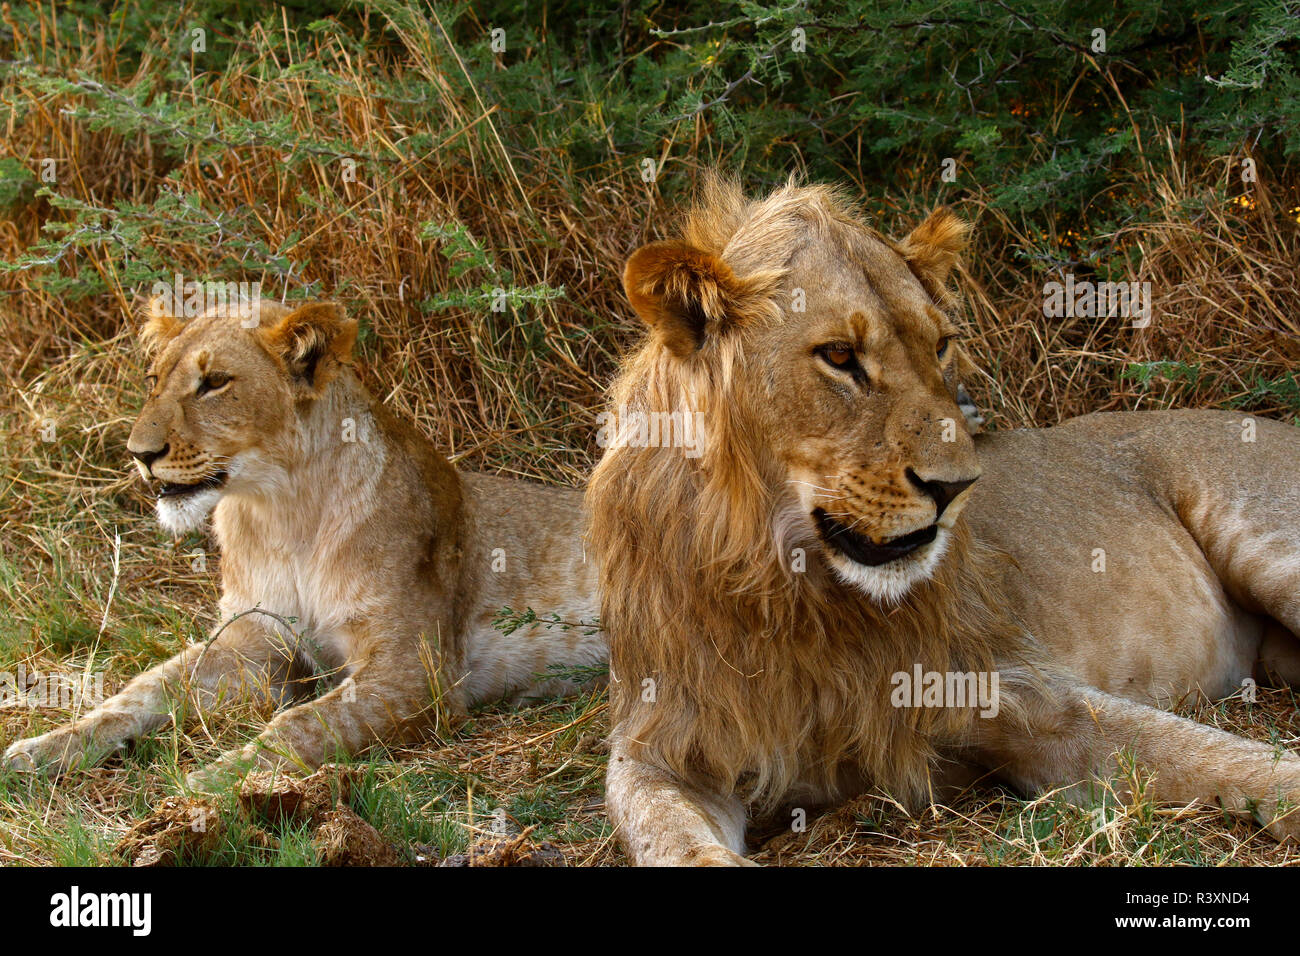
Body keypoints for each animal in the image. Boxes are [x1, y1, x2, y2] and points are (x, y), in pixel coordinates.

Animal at [3, 298, 604, 788]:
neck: (283, 513)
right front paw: (39, 750)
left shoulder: (419, 673)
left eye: (214, 382)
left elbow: (303, 723)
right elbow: (142, 691)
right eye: (153, 378)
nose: (139, 453)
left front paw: (220, 778)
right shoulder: (252, 644)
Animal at [587, 175, 1300, 866]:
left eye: (941, 346)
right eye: (839, 355)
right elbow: (661, 826)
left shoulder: (1017, 689)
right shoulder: (668, 739)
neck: (793, 593)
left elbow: (1207, 751)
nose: (957, 487)